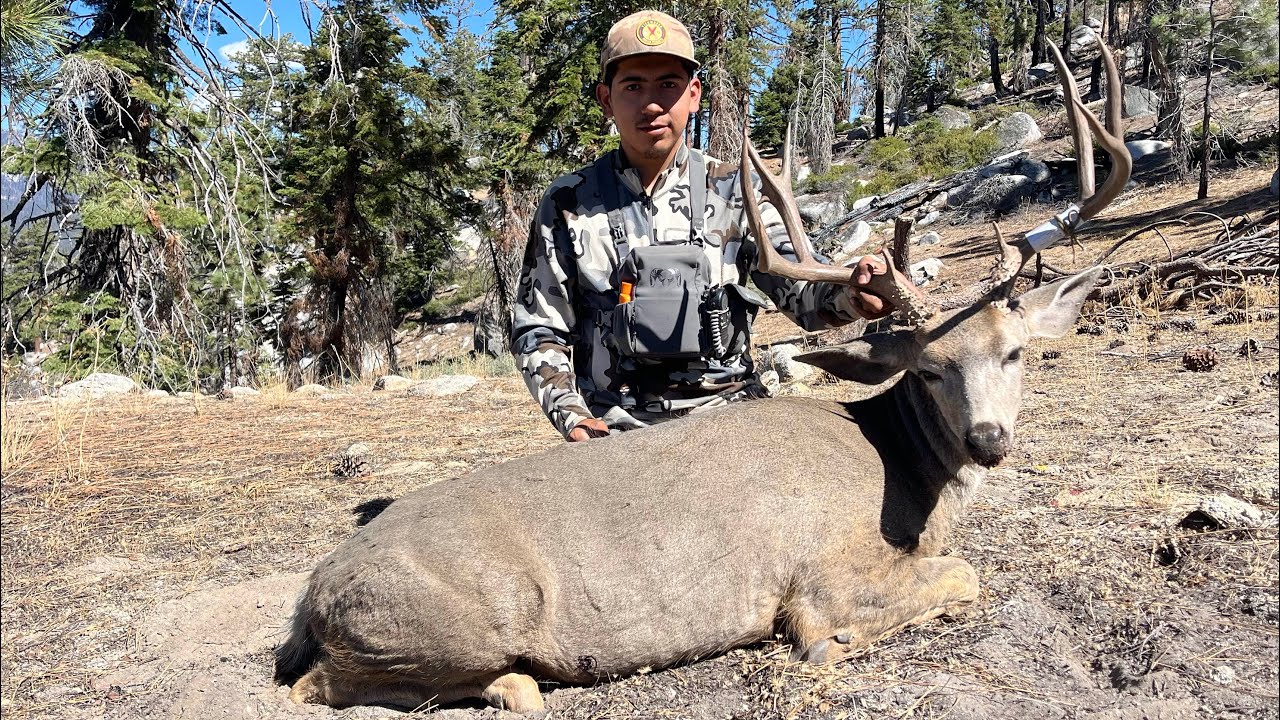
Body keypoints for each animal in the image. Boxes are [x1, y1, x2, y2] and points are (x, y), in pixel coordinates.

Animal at [274, 40, 1131, 714]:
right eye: (927, 370)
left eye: (1015, 351)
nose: (988, 440)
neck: (904, 478)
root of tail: (313, 594)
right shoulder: (820, 581)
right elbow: (956, 579)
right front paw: (842, 642)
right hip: (473, 612)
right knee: (317, 687)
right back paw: (516, 684)